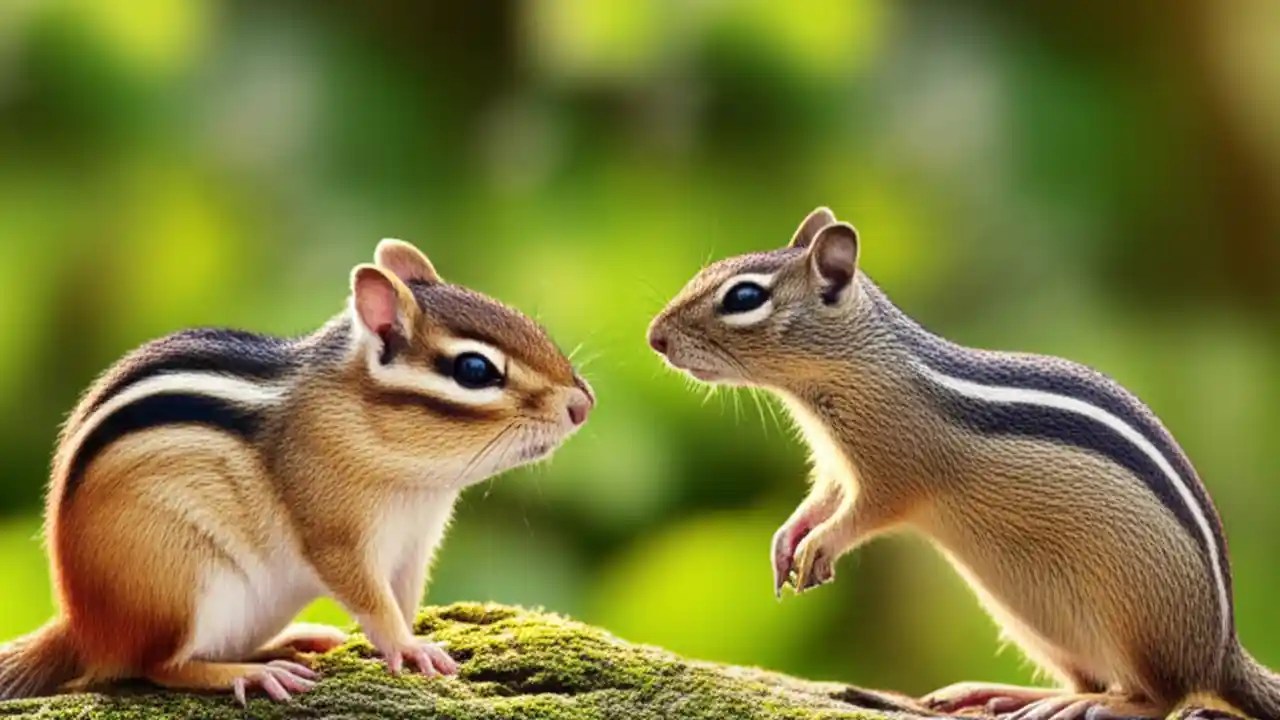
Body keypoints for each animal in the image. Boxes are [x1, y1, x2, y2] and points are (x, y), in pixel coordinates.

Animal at [0, 239, 594, 705]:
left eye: (528, 322)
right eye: (474, 369)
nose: (582, 404)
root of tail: (84, 627)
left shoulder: (414, 543)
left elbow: (403, 598)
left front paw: (412, 640)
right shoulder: (335, 529)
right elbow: (372, 600)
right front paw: (409, 647)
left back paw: (295, 640)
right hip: (181, 583)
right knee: (156, 666)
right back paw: (251, 674)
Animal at [647, 207, 1278, 720]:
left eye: (744, 298)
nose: (655, 338)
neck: (854, 368)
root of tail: (1222, 650)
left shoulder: (893, 465)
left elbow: (866, 513)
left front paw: (822, 544)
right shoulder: (834, 466)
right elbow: (820, 500)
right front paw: (788, 540)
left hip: (1131, 620)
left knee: (1161, 695)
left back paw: (1095, 706)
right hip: (1033, 620)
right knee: (1092, 680)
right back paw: (1006, 694)